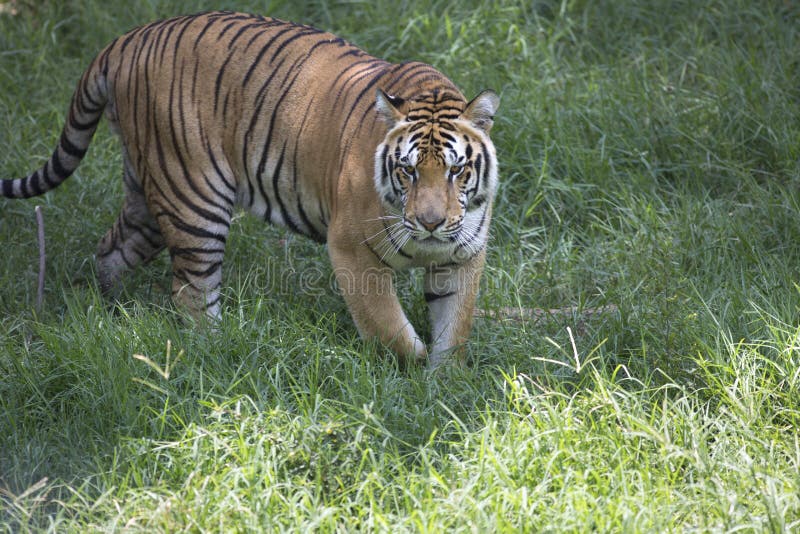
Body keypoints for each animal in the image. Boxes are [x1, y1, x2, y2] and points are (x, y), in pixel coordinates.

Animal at [1, 11, 500, 368]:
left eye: (456, 171)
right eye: (407, 172)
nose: (429, 223)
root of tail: (126, 39)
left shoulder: (463, 255)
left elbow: (455, 327)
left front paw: (443, 384)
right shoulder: (351, 249)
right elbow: (389, 326)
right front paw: (413, 368)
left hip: (148, 195)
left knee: (111, 250)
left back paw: (112, 314)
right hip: (193, 198)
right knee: (191, 295)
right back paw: (220, 354)